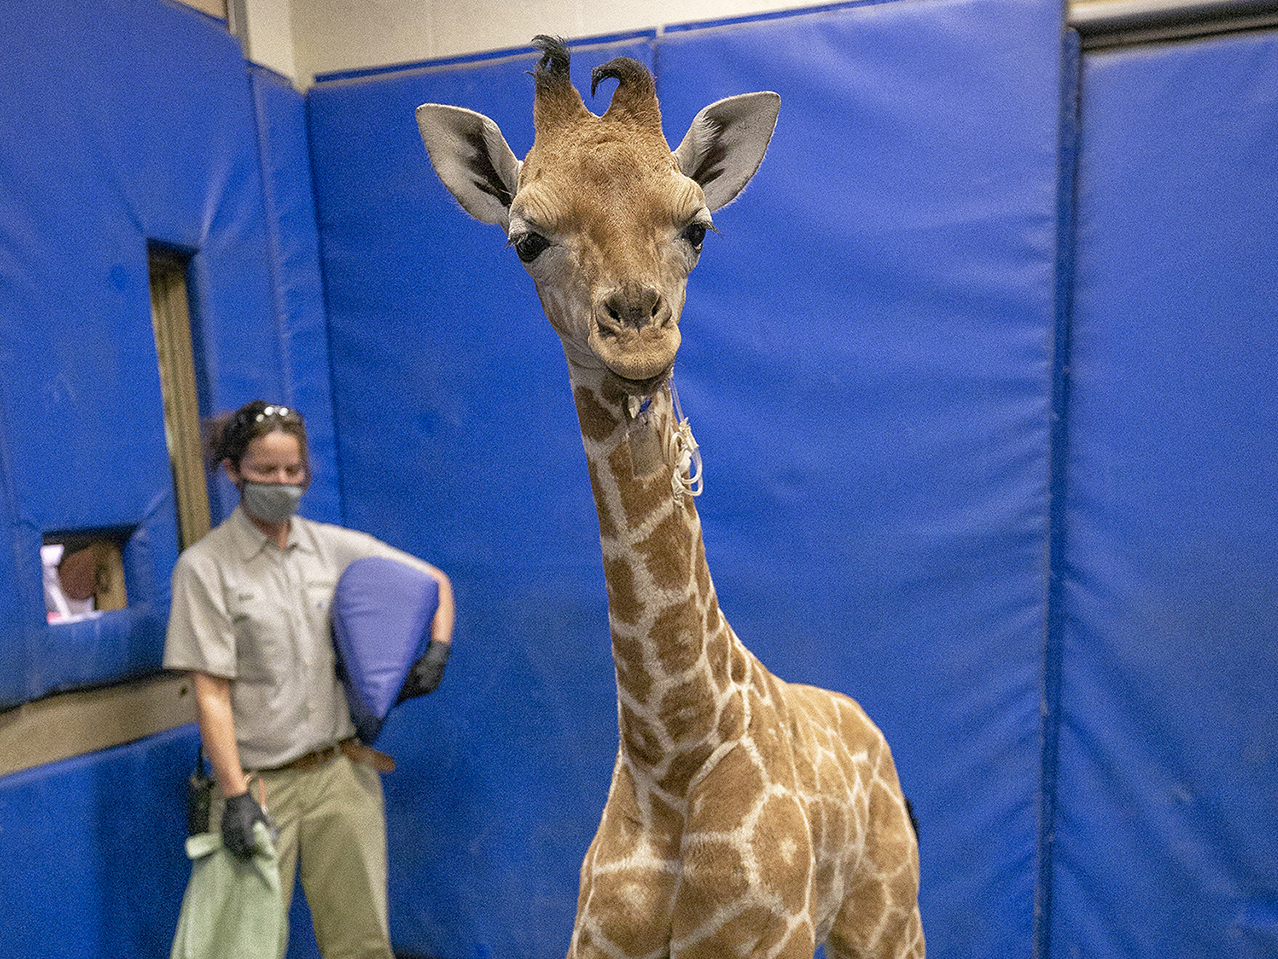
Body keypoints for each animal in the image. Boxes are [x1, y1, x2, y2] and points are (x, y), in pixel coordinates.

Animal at [416, 36, 924, 959]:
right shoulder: (595, 943)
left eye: (697, 227)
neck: (672, 747)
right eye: (525, 239)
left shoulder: (777, 939)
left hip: (887, 913)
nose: (639, 332)